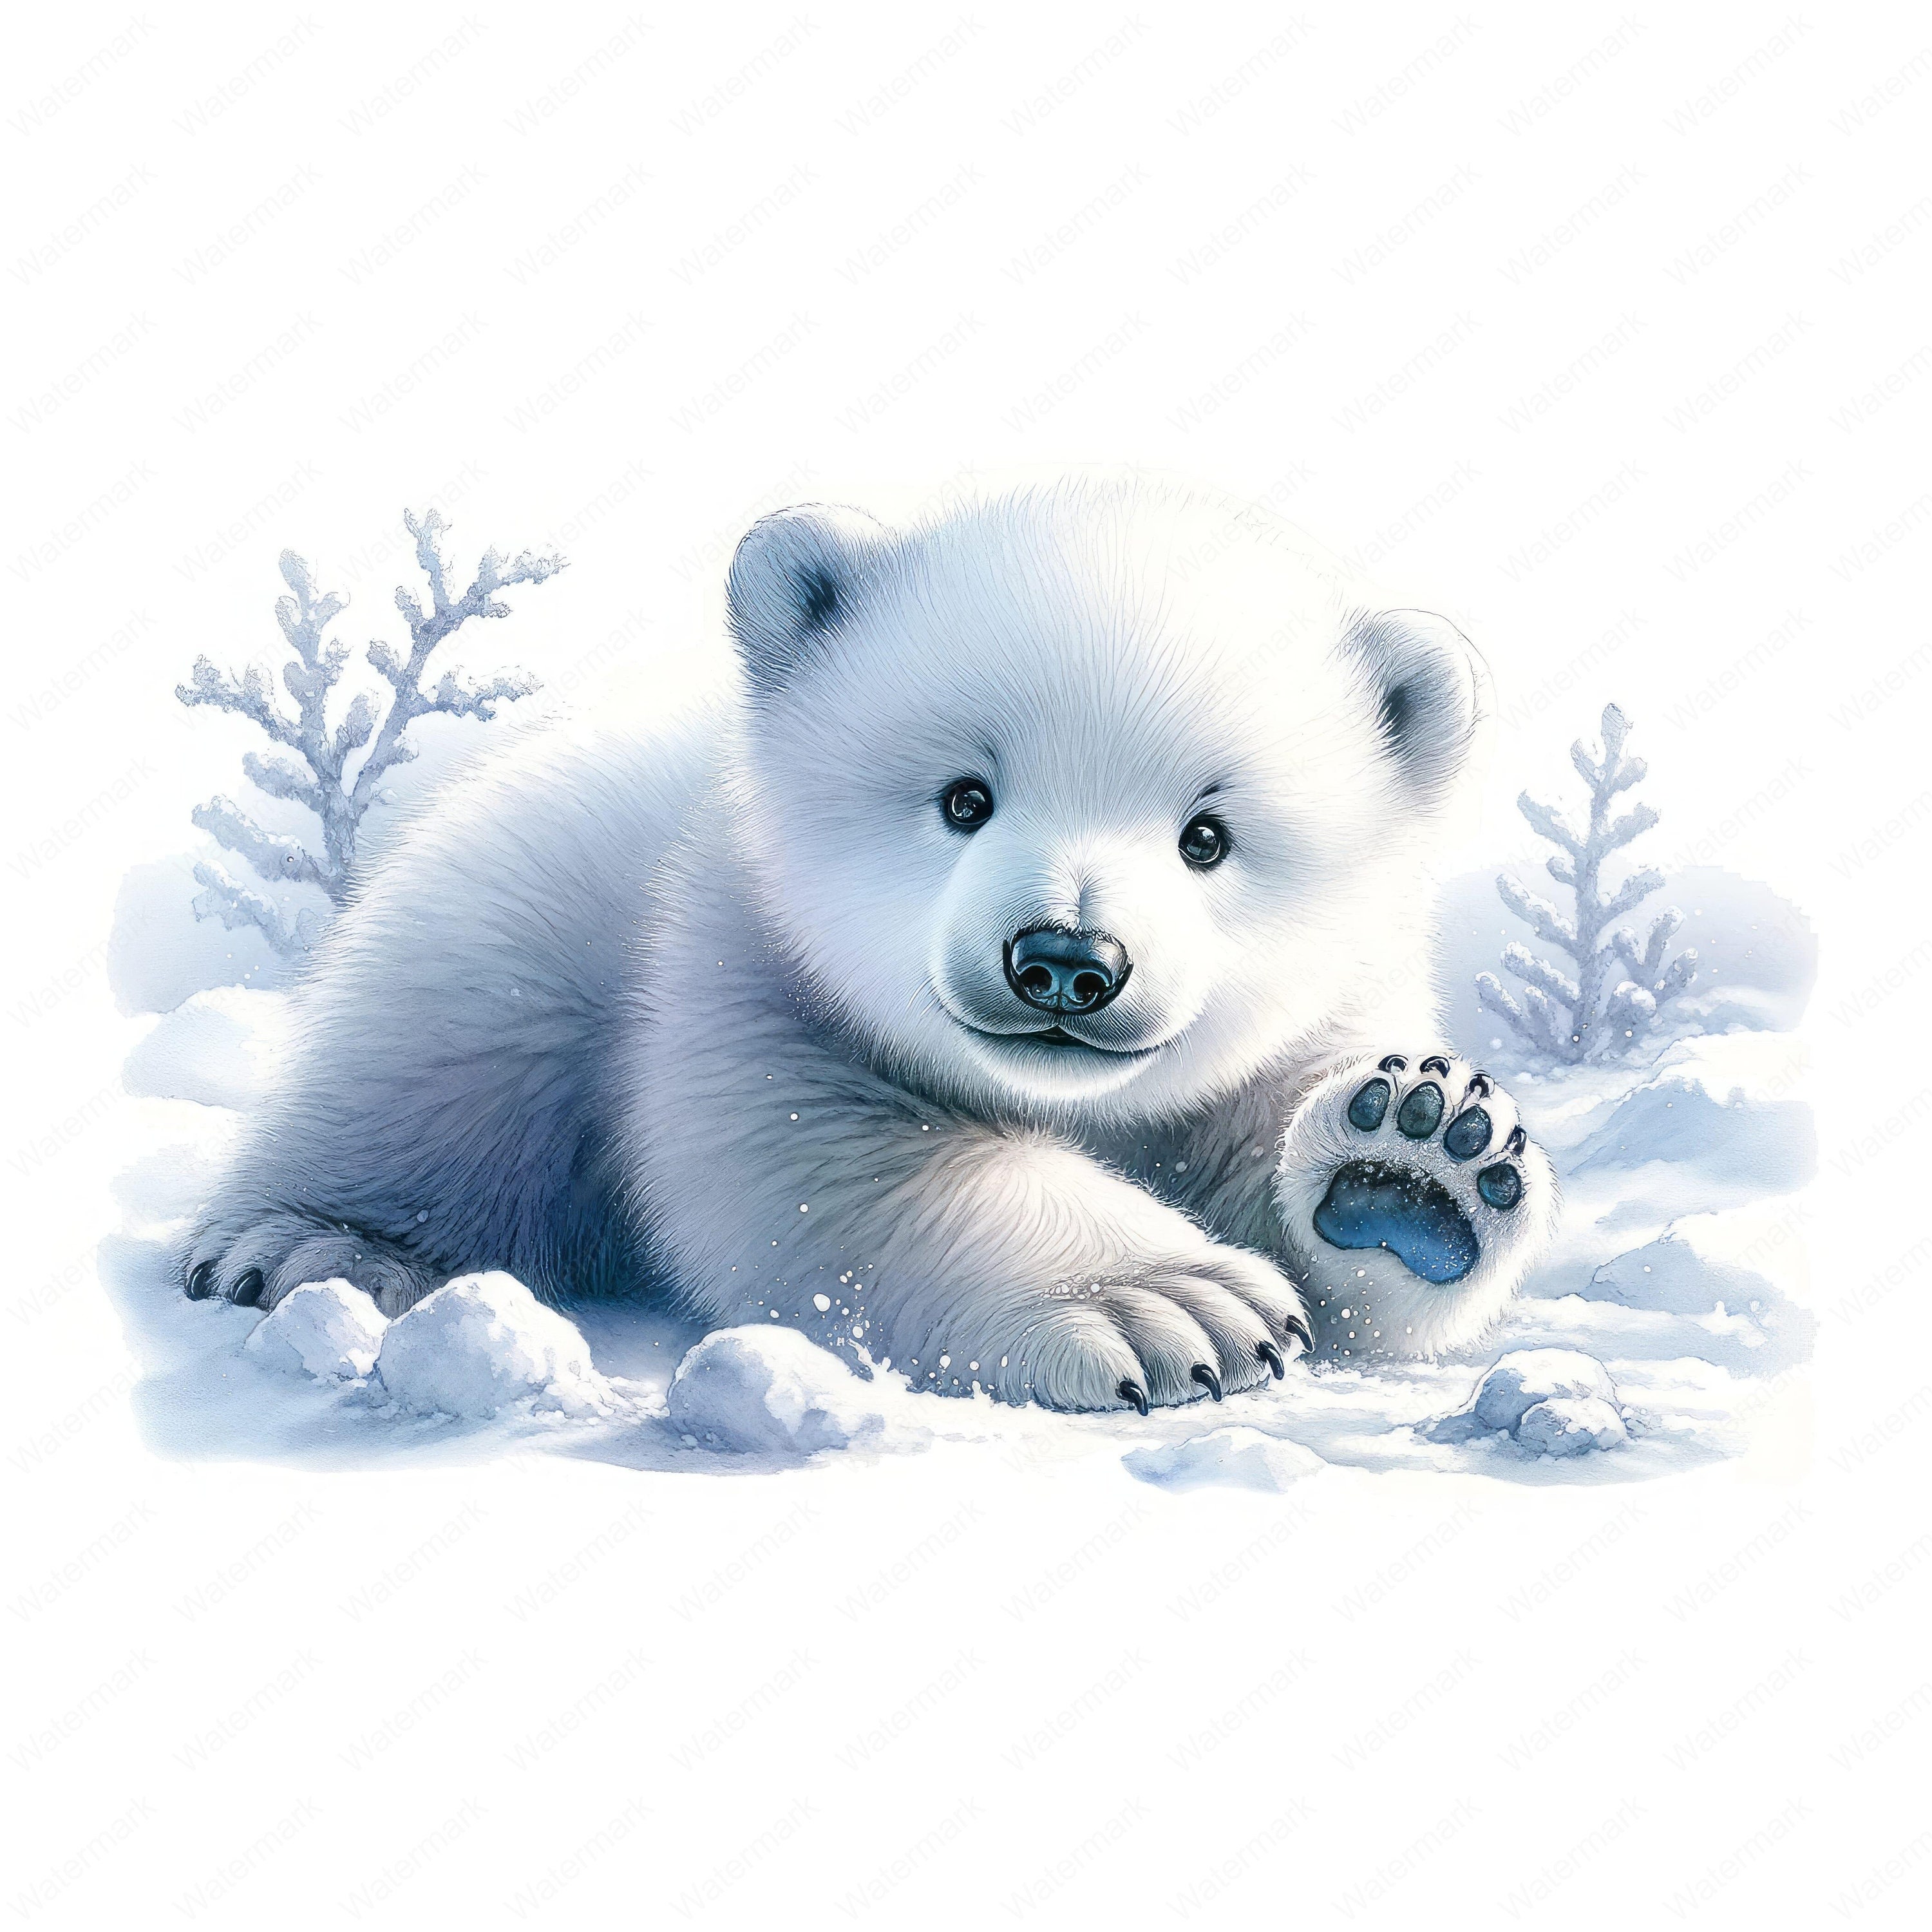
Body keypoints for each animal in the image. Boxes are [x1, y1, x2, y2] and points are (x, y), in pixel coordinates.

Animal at [183, 477, 1557, 1412]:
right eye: (965, 798)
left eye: (1207, 837)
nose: (1066, 959)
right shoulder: (746, 964)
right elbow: (836, 1170)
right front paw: (1173, 1305)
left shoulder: (1314, 1020)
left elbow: (1315, 1202)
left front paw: (1417, 1161)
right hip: (513, 916)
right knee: (436, 1058)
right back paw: (312, 1243)